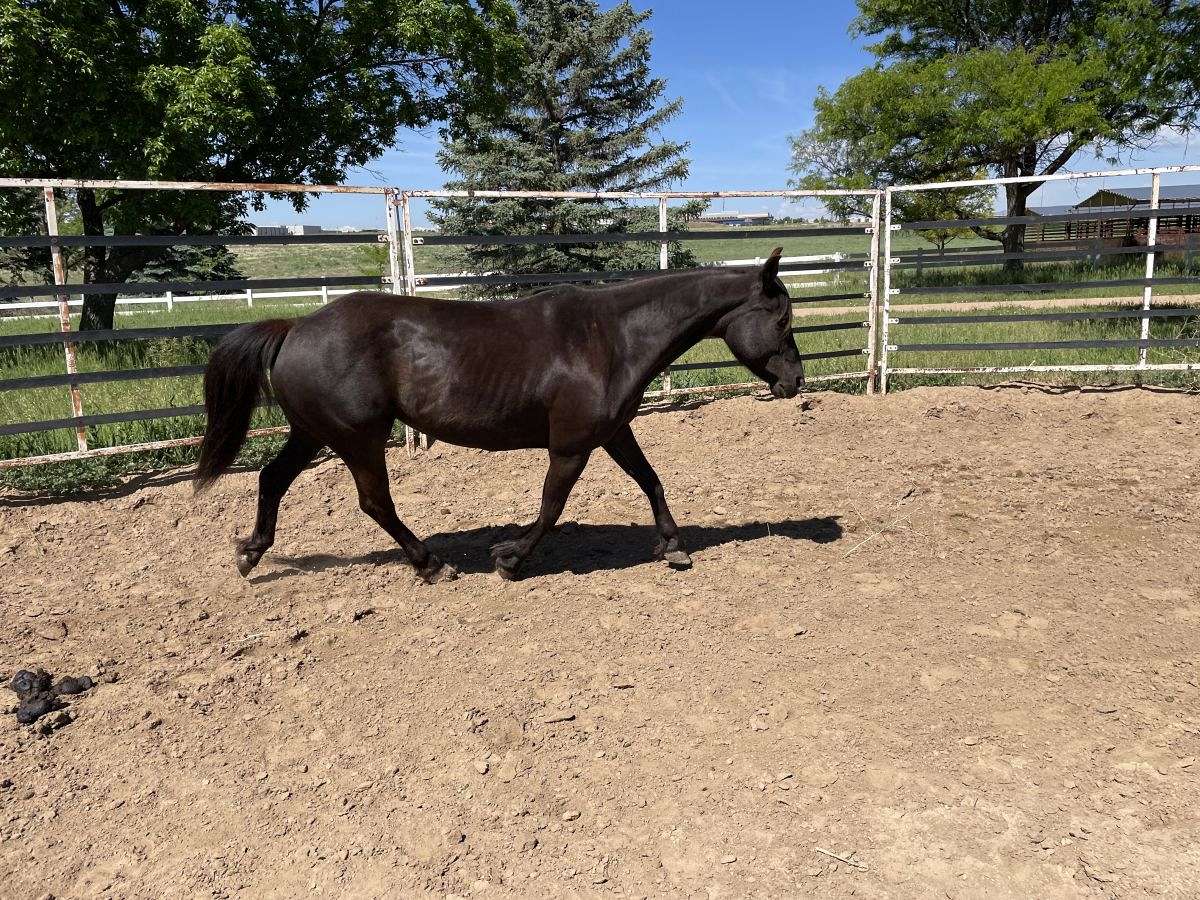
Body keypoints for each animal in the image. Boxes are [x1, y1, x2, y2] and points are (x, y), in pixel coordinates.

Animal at [194, 247, 805, 582]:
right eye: (781, 320)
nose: (795, 382)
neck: (612, 337)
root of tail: (295, 327)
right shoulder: (571, 445)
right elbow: (552, 505)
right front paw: (510, 558)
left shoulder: (612, 432)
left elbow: (651, 480)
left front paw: (674, 547)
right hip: (357, 438)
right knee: (374, 503)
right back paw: (431, 563)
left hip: (312, 432)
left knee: (272, 478)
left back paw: (250, 553)